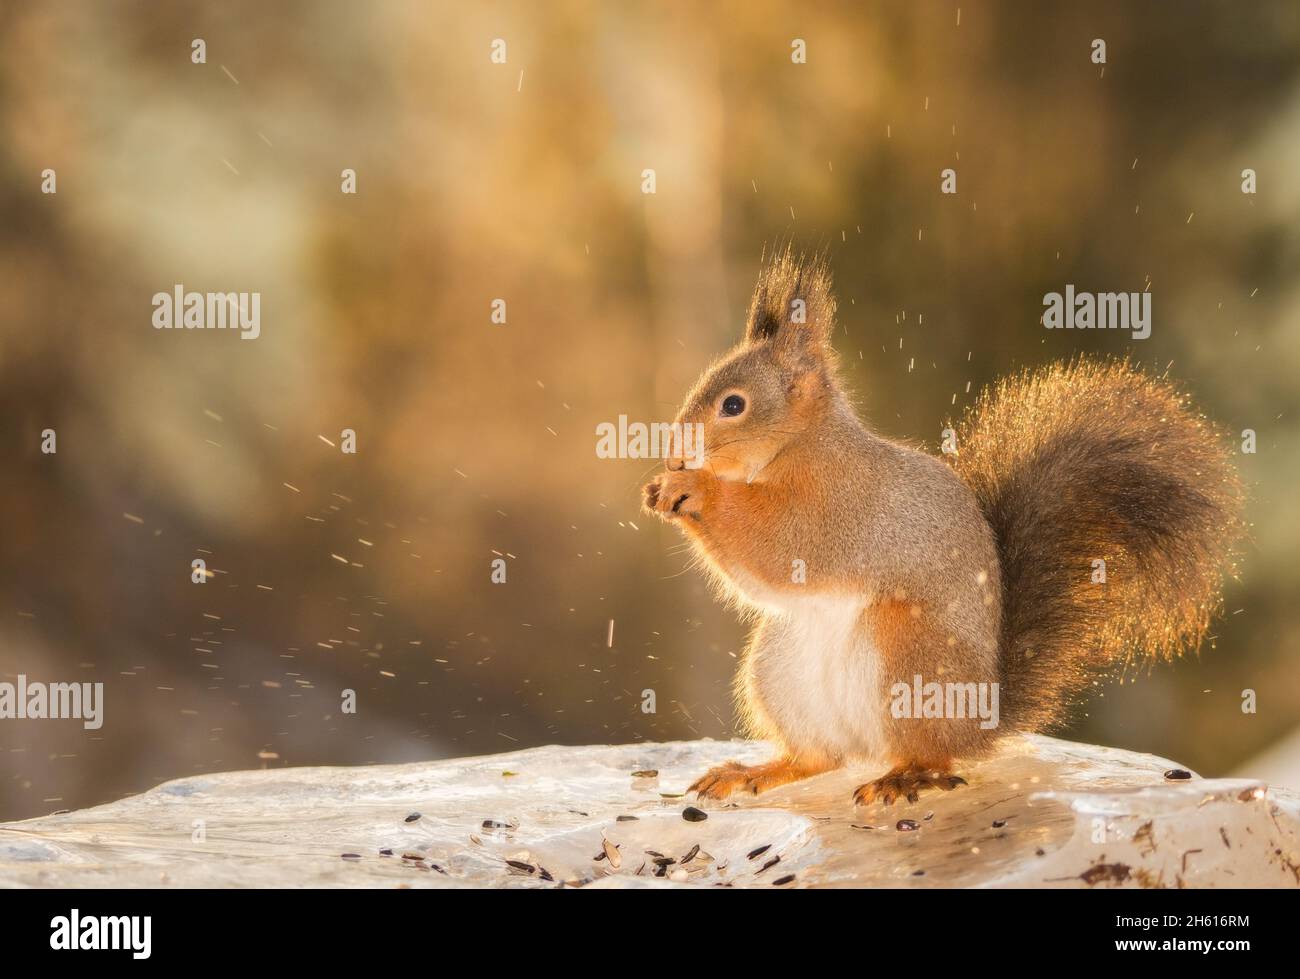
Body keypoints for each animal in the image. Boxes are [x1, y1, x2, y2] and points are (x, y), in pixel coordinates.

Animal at [643, 248, 1244, 807]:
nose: (675, 452)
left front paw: (695, 488)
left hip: (909, 654)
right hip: (780, 668)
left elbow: (779, 544)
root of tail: (981, 722)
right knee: (821, 757)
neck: (801, 445)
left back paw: (906, 777)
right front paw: (662, 488)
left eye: (733, 405)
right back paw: (758, 772)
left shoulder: (838, 507)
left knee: (930, 753)